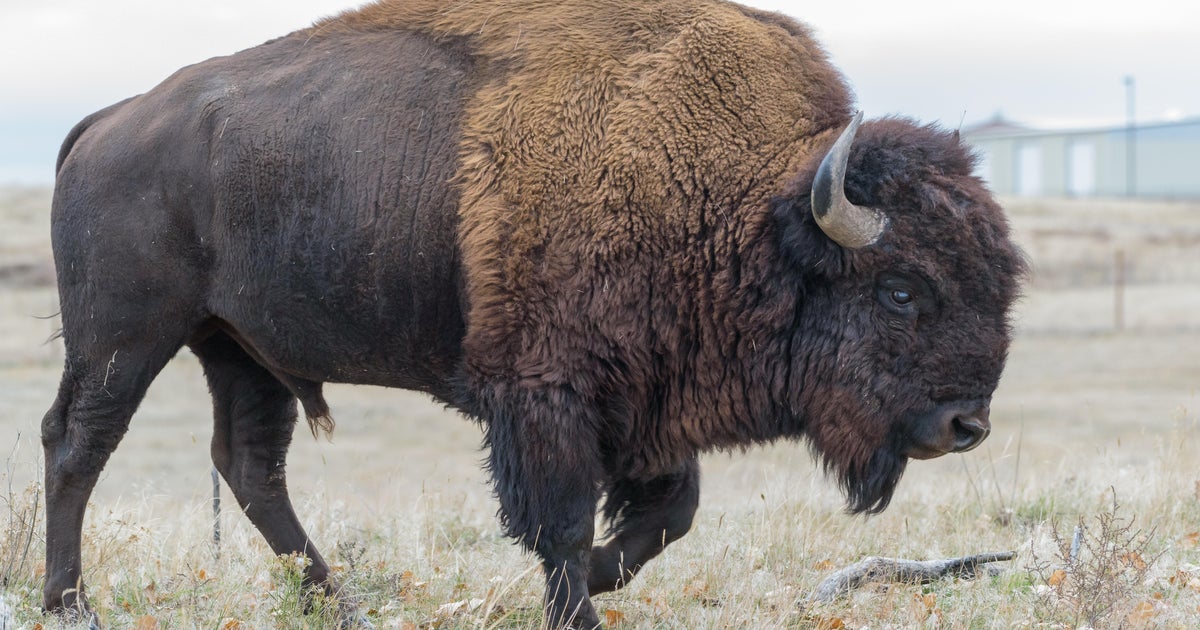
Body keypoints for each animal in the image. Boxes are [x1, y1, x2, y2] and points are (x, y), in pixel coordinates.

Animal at [42, 0, 1024, 627]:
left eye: (998, 280)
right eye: (901, 288)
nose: (966, 425)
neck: (744, 205)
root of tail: (107, 122)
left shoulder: (645, 405)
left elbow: (665, 517)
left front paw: (588, 583)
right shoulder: (547, 400)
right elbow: (561, 522)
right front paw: (571, 607)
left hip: (239, 350)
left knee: (250, 468)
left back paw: (340, 604)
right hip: (126, 338)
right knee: (77, 442)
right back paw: (68, 603)